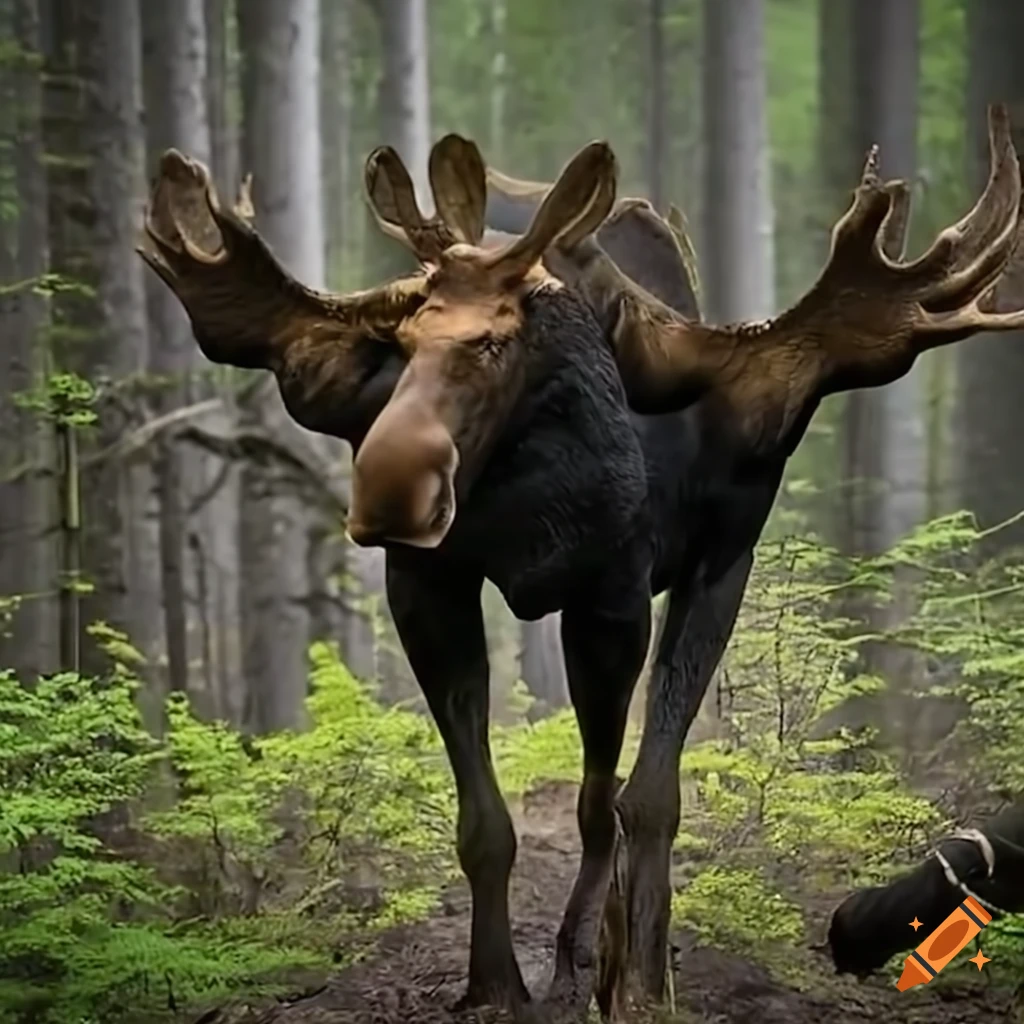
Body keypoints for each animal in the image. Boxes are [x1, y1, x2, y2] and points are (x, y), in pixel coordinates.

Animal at [138, 104, 1024, 1020]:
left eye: (499, 344)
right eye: (405, 341)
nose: (388, 489)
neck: (542, 490)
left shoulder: (652, 582)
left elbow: (636, 797)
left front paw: (633, 974)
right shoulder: (428, 584)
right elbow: (485, 822)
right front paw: (497, 983)